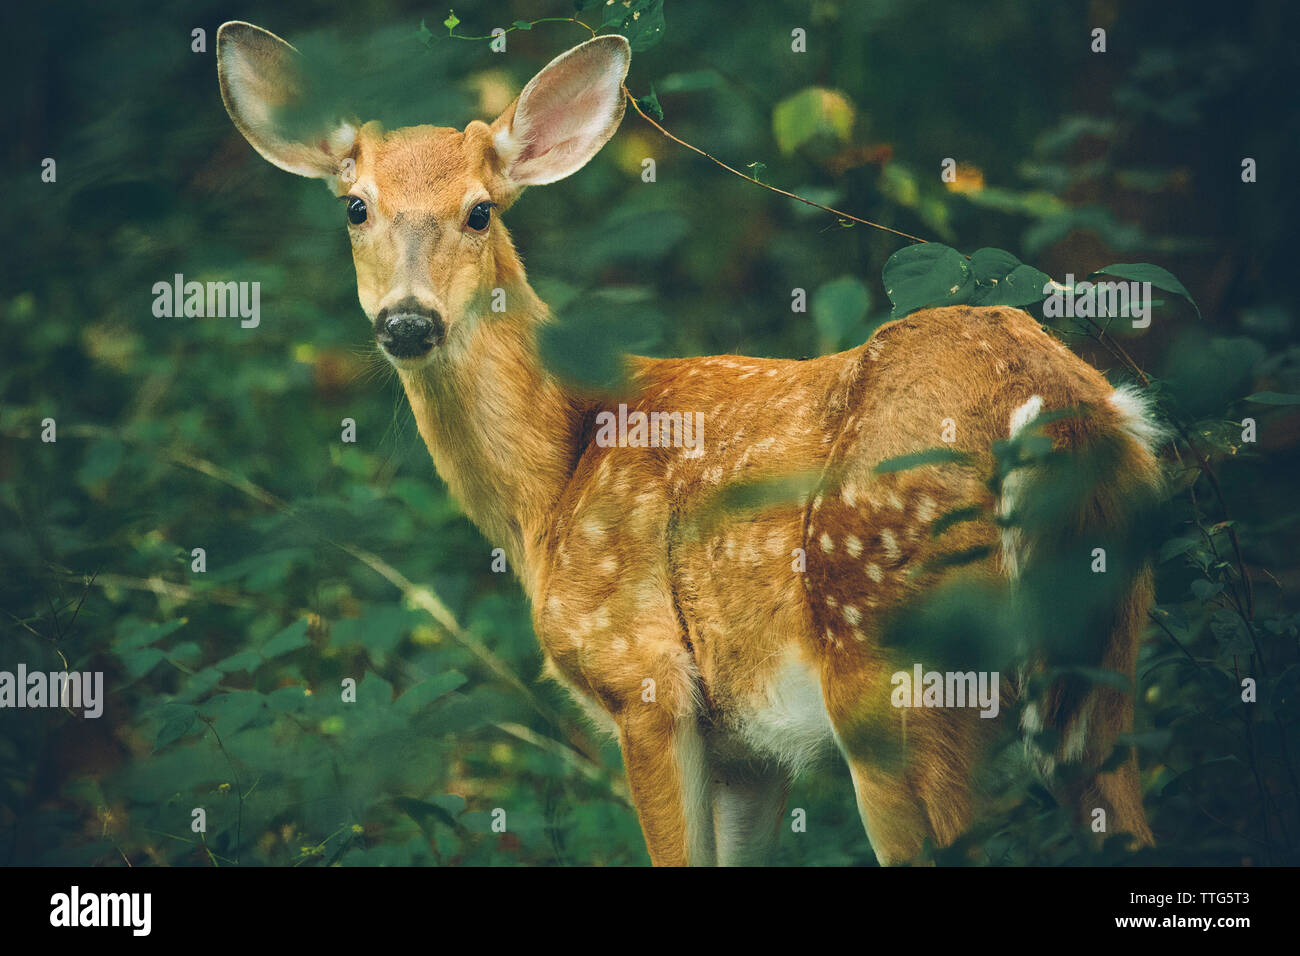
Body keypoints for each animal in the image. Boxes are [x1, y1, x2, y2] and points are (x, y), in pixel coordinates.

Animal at [216, 22, 1161, 865]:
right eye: (356, 207)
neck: (551, 483)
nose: (408, 321)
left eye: (480, 212)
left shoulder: (643, 676)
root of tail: (1055, 409)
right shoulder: (748, 744)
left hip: (889, 656)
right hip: (1104, 670)